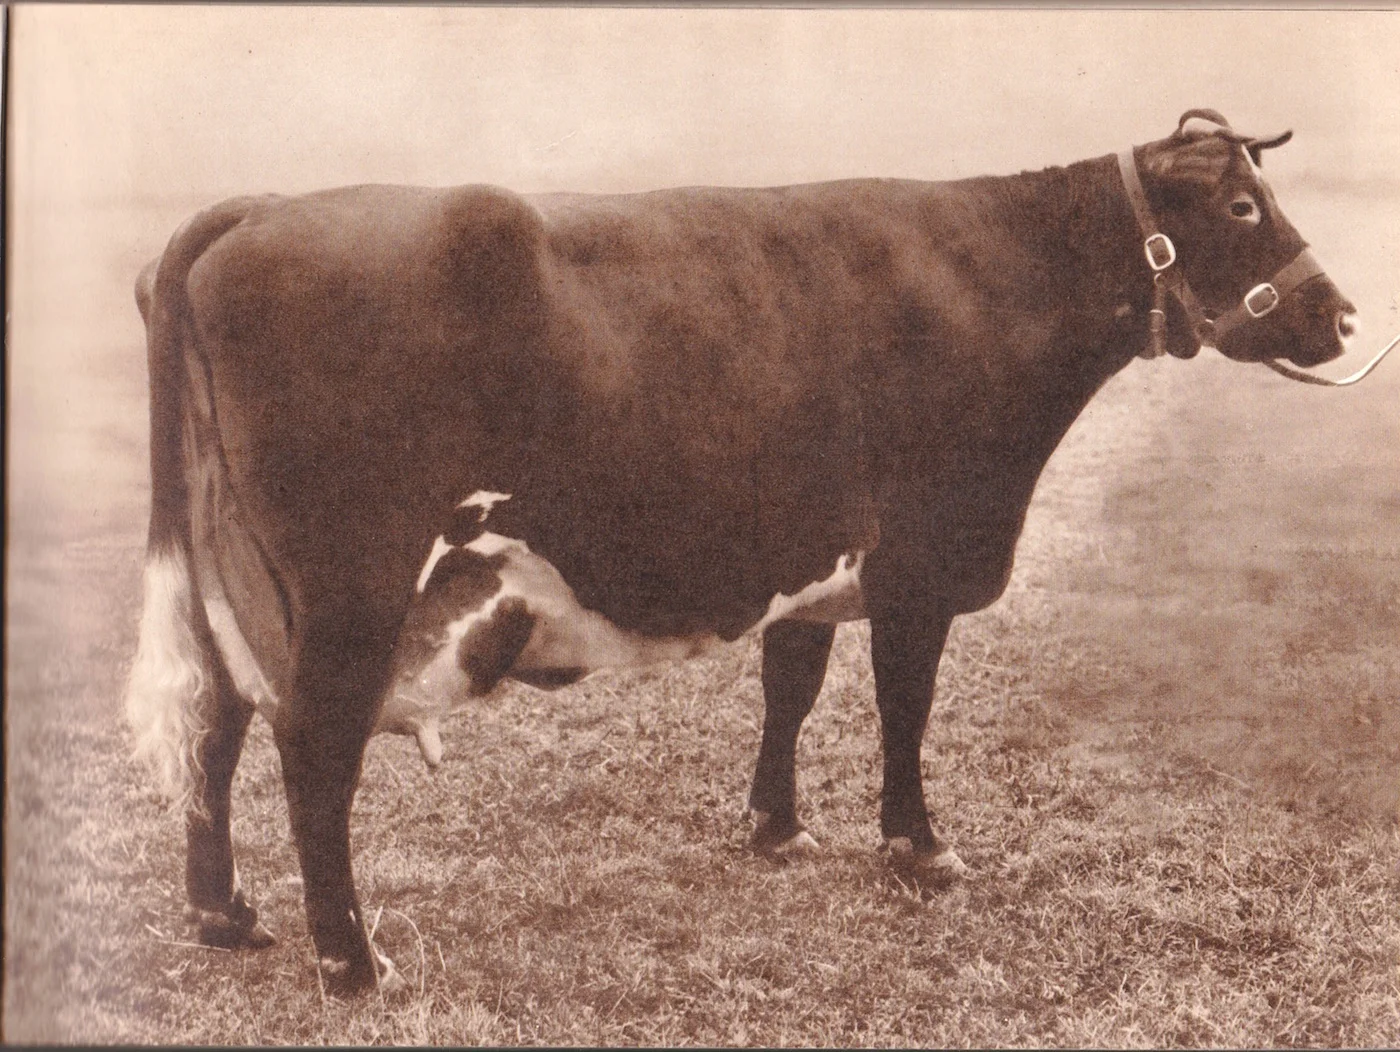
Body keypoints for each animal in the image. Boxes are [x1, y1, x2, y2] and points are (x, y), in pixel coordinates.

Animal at [126, 110, 1357, 995]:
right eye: (1242, 203)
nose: (1342, 317)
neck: (988, 278)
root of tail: (257, 211)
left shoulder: (809, 560)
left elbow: (791, 686)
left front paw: (775, 827)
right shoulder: (920, 558)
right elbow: (903, 705)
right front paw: (918, 847)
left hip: (230, 589)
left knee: (216, 726)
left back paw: (223, 914)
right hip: (351, 588)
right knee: (312, 751)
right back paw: (352, 961)